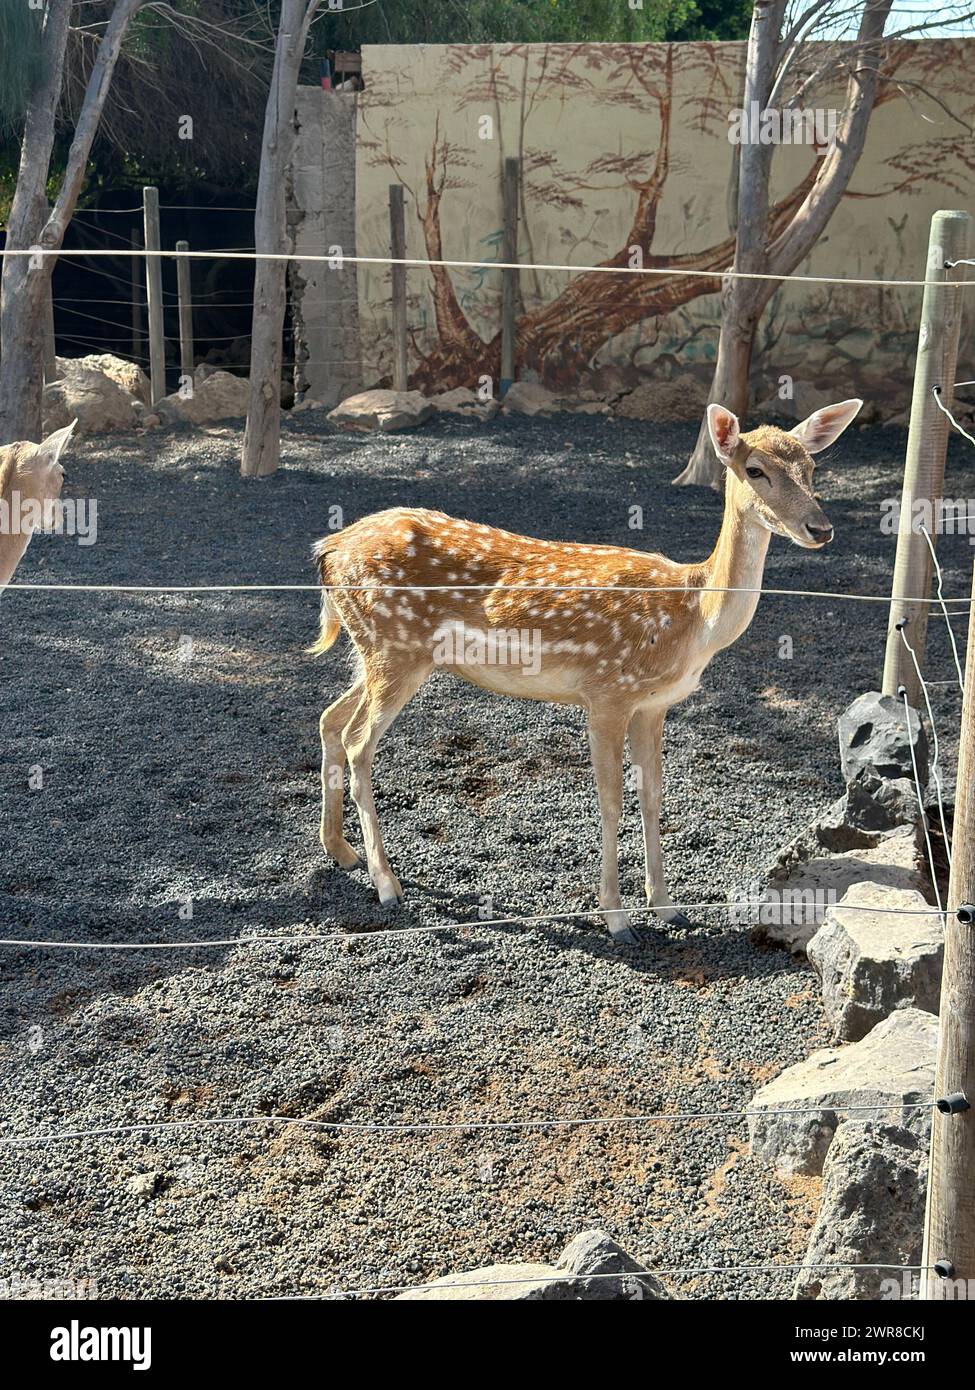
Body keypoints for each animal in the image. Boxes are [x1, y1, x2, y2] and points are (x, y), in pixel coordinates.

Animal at [308, 399, 862, 943]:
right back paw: (386, 883)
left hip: (377, 653)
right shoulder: (608, 692)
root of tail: (326, 551)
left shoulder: (655, 704)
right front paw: (617, 918)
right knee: (358, 741)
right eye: (755, 469)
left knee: (329, 720)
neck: (694, 620)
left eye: (812, 467)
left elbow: (653, 797)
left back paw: (340, 851)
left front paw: (667, 907)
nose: (821, 528)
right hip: (394, 648)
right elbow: (610, 800)